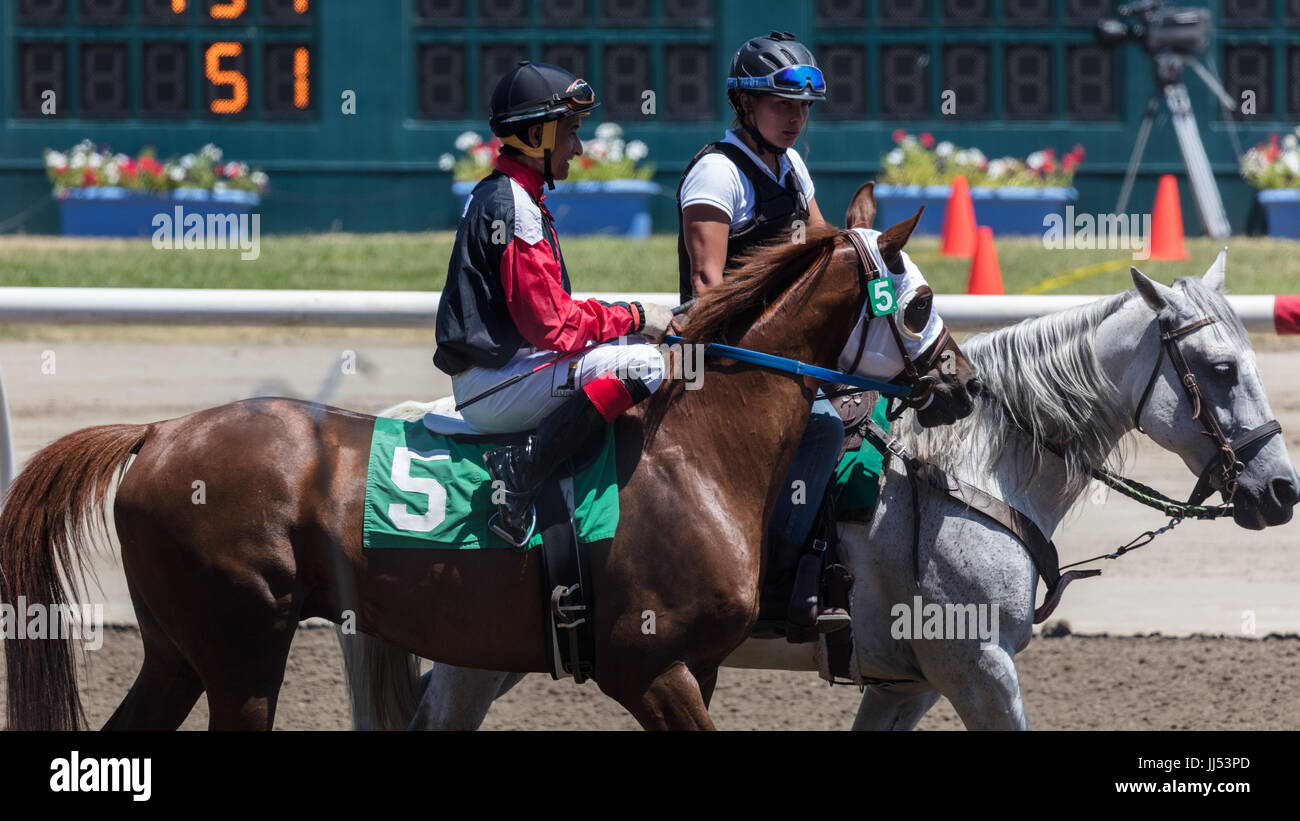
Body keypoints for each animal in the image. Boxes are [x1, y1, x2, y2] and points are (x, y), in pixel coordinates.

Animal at [0, 184, 979, 730]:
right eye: (921, 298)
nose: (963, 383)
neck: (696, 452)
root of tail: (158, 432)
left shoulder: (695, 663)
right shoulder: (648, 667)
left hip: (179, 651)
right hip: (241, 649)